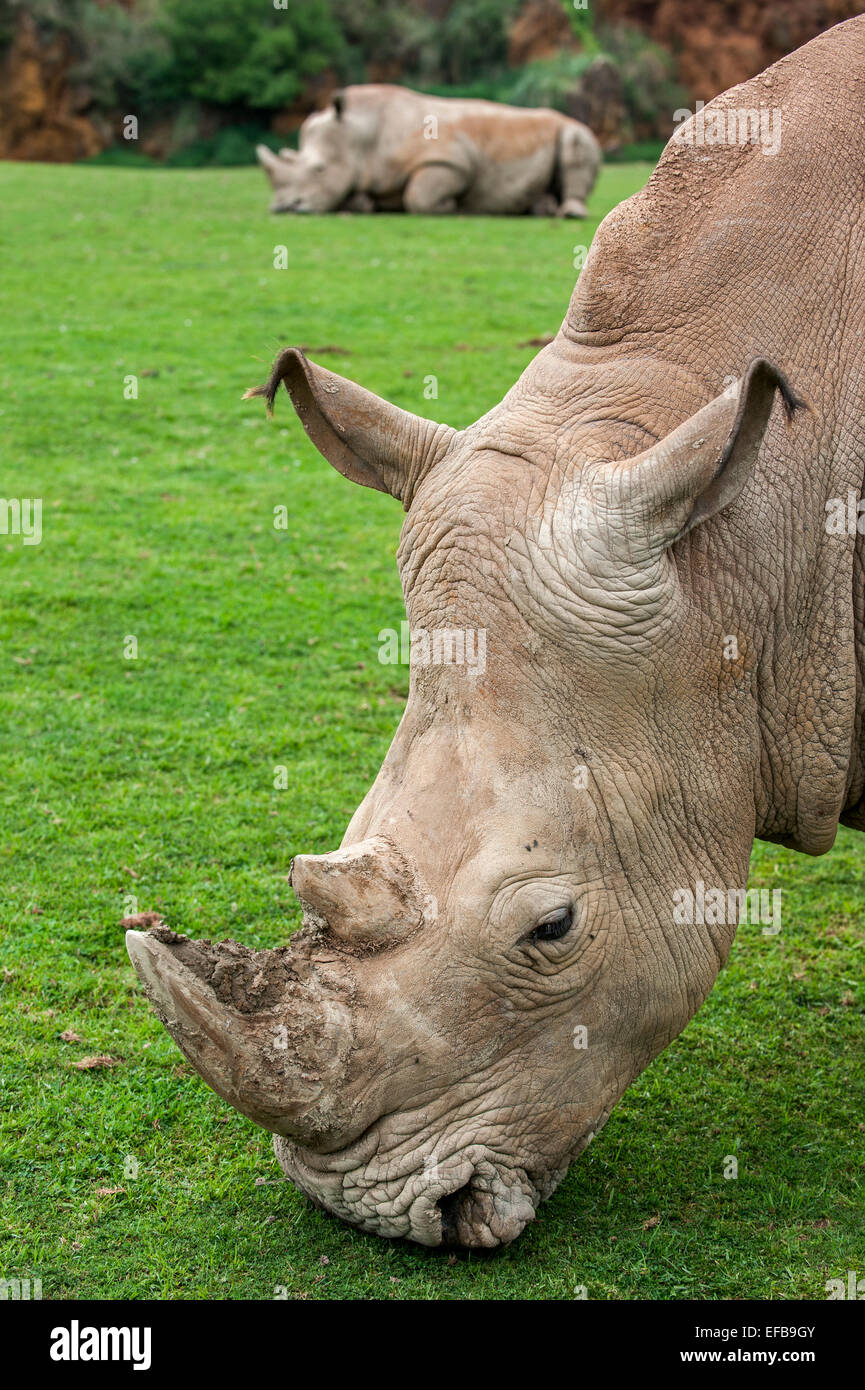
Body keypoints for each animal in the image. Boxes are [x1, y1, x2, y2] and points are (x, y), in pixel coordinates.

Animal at [255, 83, 600, 217]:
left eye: (319, 169)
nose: (283, 207)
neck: (360, 134)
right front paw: (364, 205)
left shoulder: (450, 160)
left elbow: (419, 195)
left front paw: (450, 207)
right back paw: (541, 208)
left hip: (579, 130)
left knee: (575, 143)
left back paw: (569, 213)